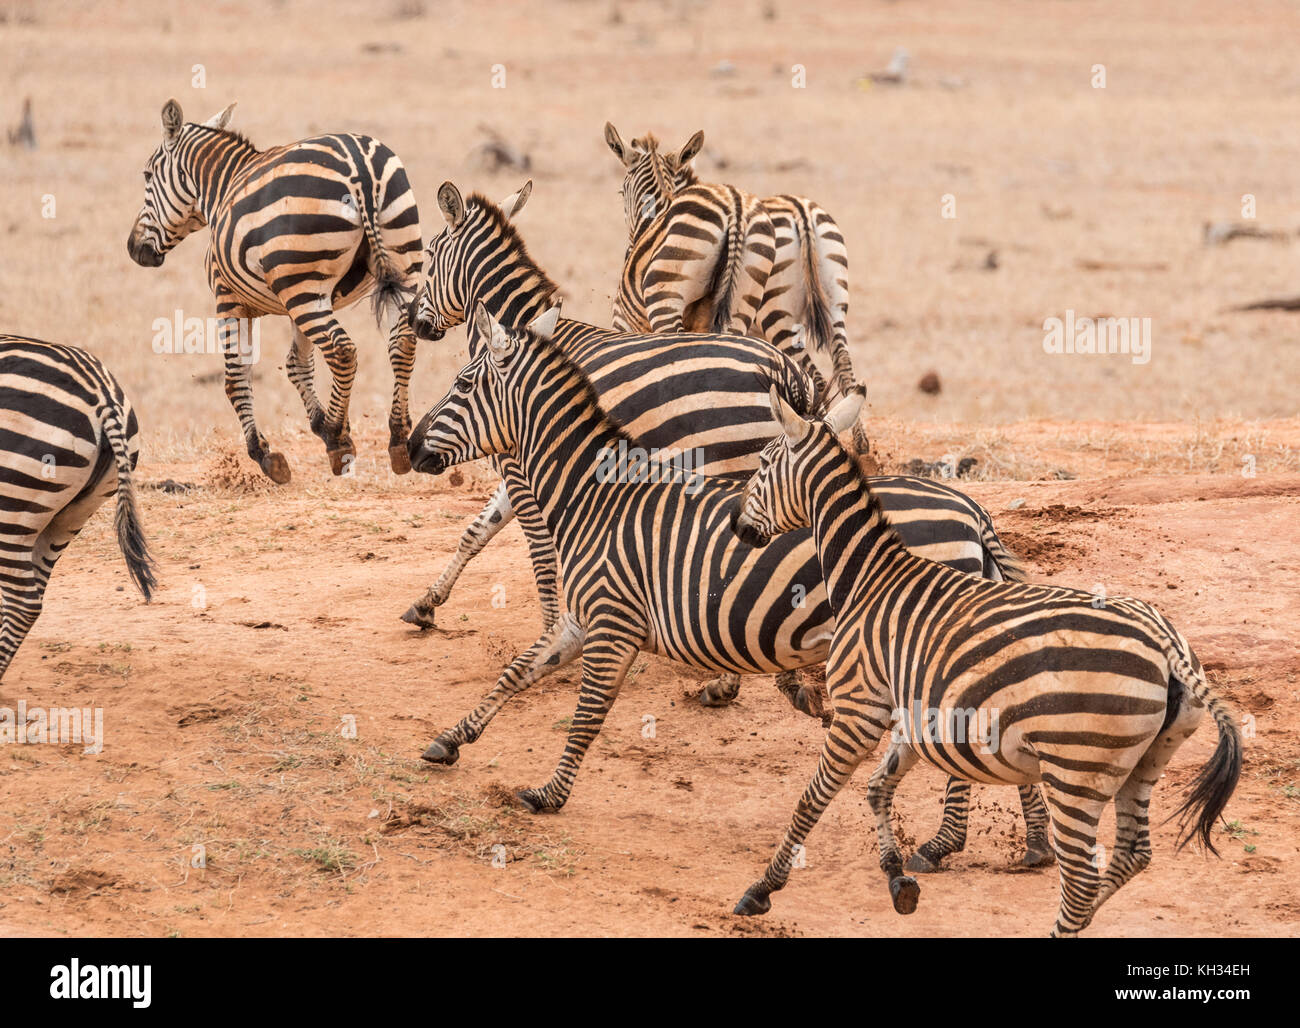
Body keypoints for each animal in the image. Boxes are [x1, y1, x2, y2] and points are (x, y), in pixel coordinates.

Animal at [127, 99, 422, 484]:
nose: (134, 249)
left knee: (342, 351)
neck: (222, 187)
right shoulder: (303, 297)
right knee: (402, 342)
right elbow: (298, 363)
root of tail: (360, 166)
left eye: (148, 175)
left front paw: (265, 453)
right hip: (397, 266)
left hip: (304, 285)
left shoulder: (229, 297)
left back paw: (339, 442)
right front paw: (322, 423)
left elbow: (236, 377)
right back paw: (397, 437)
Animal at [404, 307, 1039, 839]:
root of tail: (971, 511)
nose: (408, 448)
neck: (594, 497)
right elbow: (516, 672)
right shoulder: (583, 621)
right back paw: (1029, 846)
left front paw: (549, 795)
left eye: (462, 385)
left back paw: (944, 844)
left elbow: (585, 717)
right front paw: (449, 741)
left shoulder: (612, 624)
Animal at [604, 125, 855, 403]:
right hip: (827, 303)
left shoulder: (624, 322)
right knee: (842, 373)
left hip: (769, 314)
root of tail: (800, 210)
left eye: (620, 192)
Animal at [728, 387, 1242, 936]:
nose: (739, 526)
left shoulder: (857, 708)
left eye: (763, 464)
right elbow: (877, 788)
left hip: (1075, 770)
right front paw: (897, 879)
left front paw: (762, 889)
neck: (869, 576)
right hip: (1144, 760)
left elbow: (812, 799)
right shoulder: (913, 715)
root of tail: (1166, 641)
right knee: (1132, 855)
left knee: (1081, 880)